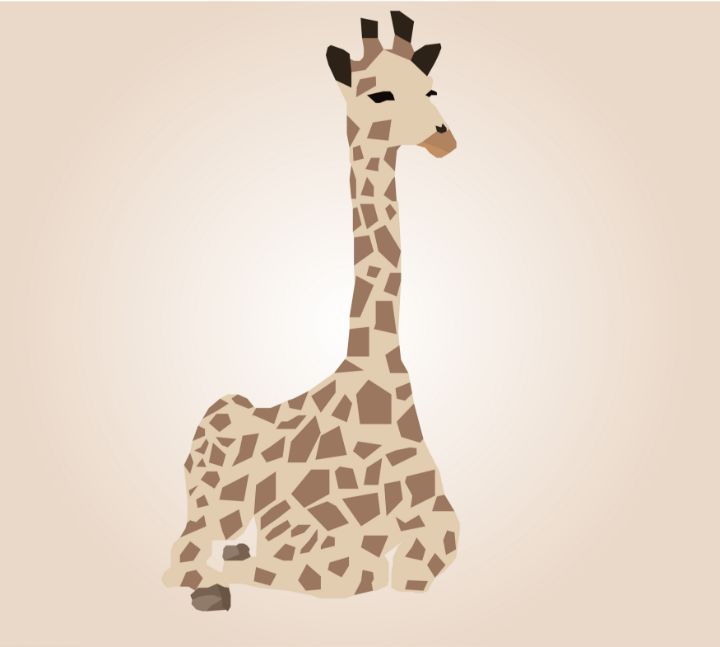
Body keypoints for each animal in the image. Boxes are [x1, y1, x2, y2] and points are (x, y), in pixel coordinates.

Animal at [162, 11, 459, 611]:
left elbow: (416, 567)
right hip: (209, 489)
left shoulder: (440, 529)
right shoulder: (319, 550)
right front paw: (217, 584)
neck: (376, 377)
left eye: (432, 89)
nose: (445, 139)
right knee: (184, 556)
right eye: (379, 94)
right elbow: (332, 572)